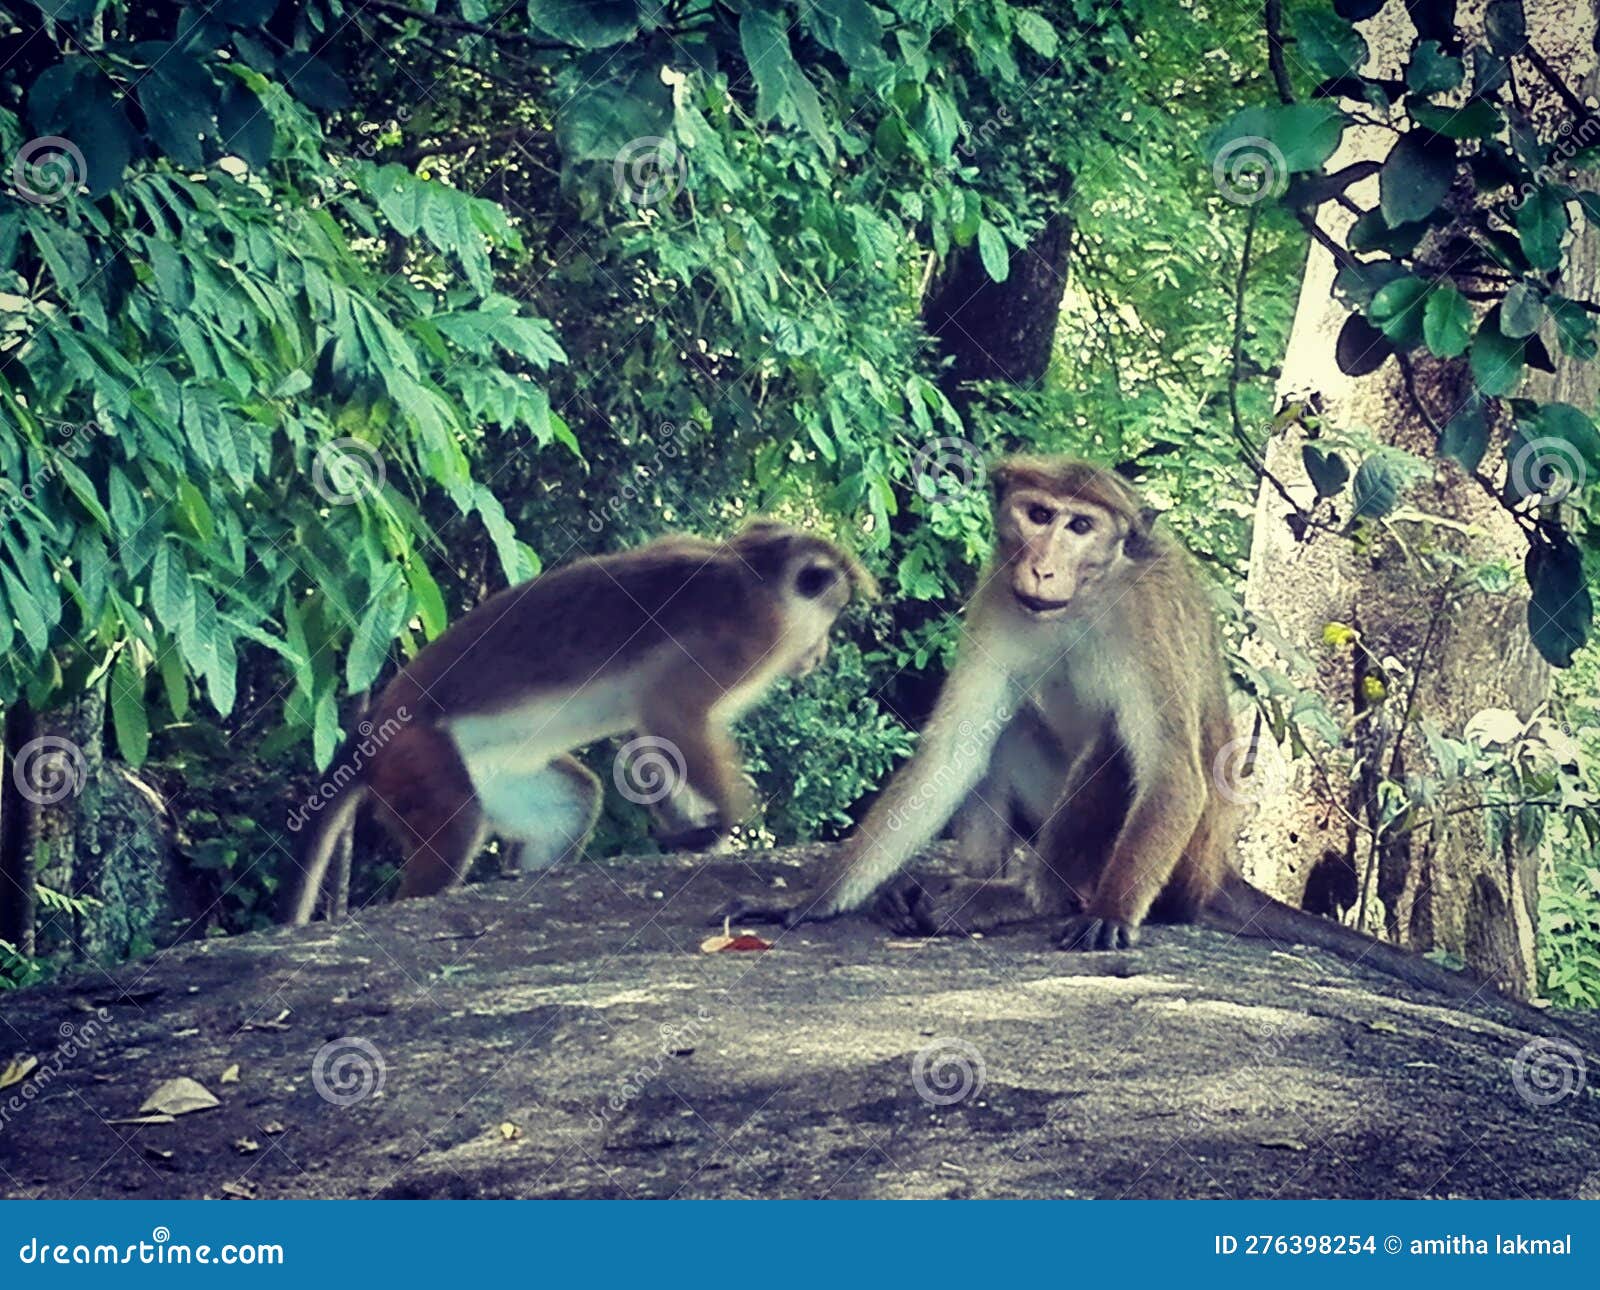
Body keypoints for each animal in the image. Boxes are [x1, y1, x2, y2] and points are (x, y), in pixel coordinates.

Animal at [285, 520, 875, 926]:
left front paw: (687, 831)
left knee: (572, 803)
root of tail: (379, 722)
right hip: (416, 756)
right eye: (833, 618)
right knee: (457, 824)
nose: (821, 653)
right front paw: (726, 821)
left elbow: (647, 736)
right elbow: (671, 714)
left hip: (484, 765)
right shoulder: (751, 634)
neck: (753, 567)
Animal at [717, 455, 1488, 1000]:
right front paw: (812, 900)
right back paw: (962, 886)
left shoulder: (1146, 618)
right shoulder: (996, 596)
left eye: (1080, 527)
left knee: (1120, 745)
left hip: (1180, 869)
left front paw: (1111, 914)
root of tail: (1218, 872)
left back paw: (1023, 899)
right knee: (1005, 734)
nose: (1041, 566)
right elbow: (955, 750)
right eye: (1037, 514)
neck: (1084, 599)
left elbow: (1173, 771)